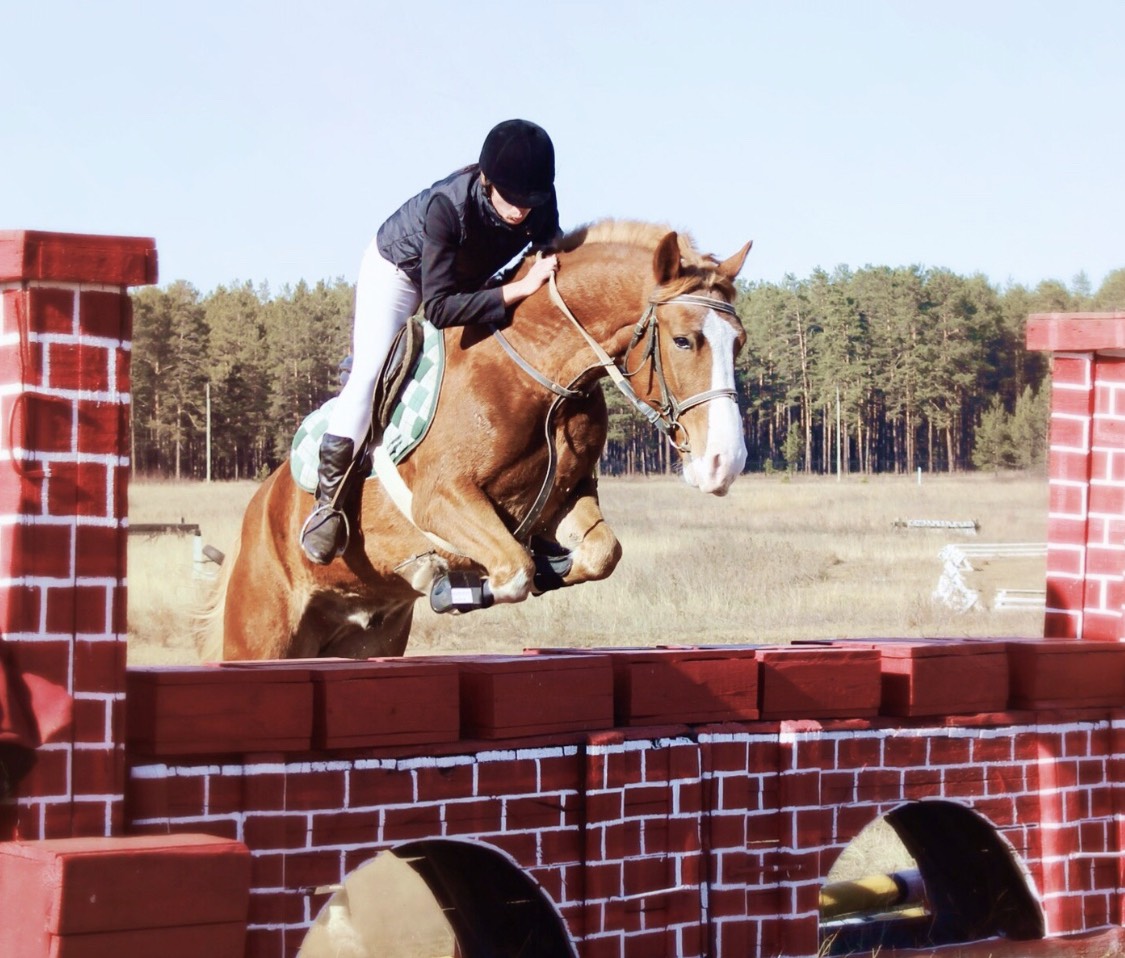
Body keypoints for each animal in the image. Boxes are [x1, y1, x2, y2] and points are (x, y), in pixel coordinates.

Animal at [207, 220, 751, 661]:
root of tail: (254, 516)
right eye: (683, 340)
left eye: (739, 343)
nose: (725, 463)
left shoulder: (562, 498)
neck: (541, 375)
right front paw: (447, 586)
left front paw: (552, 566)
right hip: (261, 635)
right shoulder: (441, 500)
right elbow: (512, 568)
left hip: (366, 641)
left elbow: (600, 553)